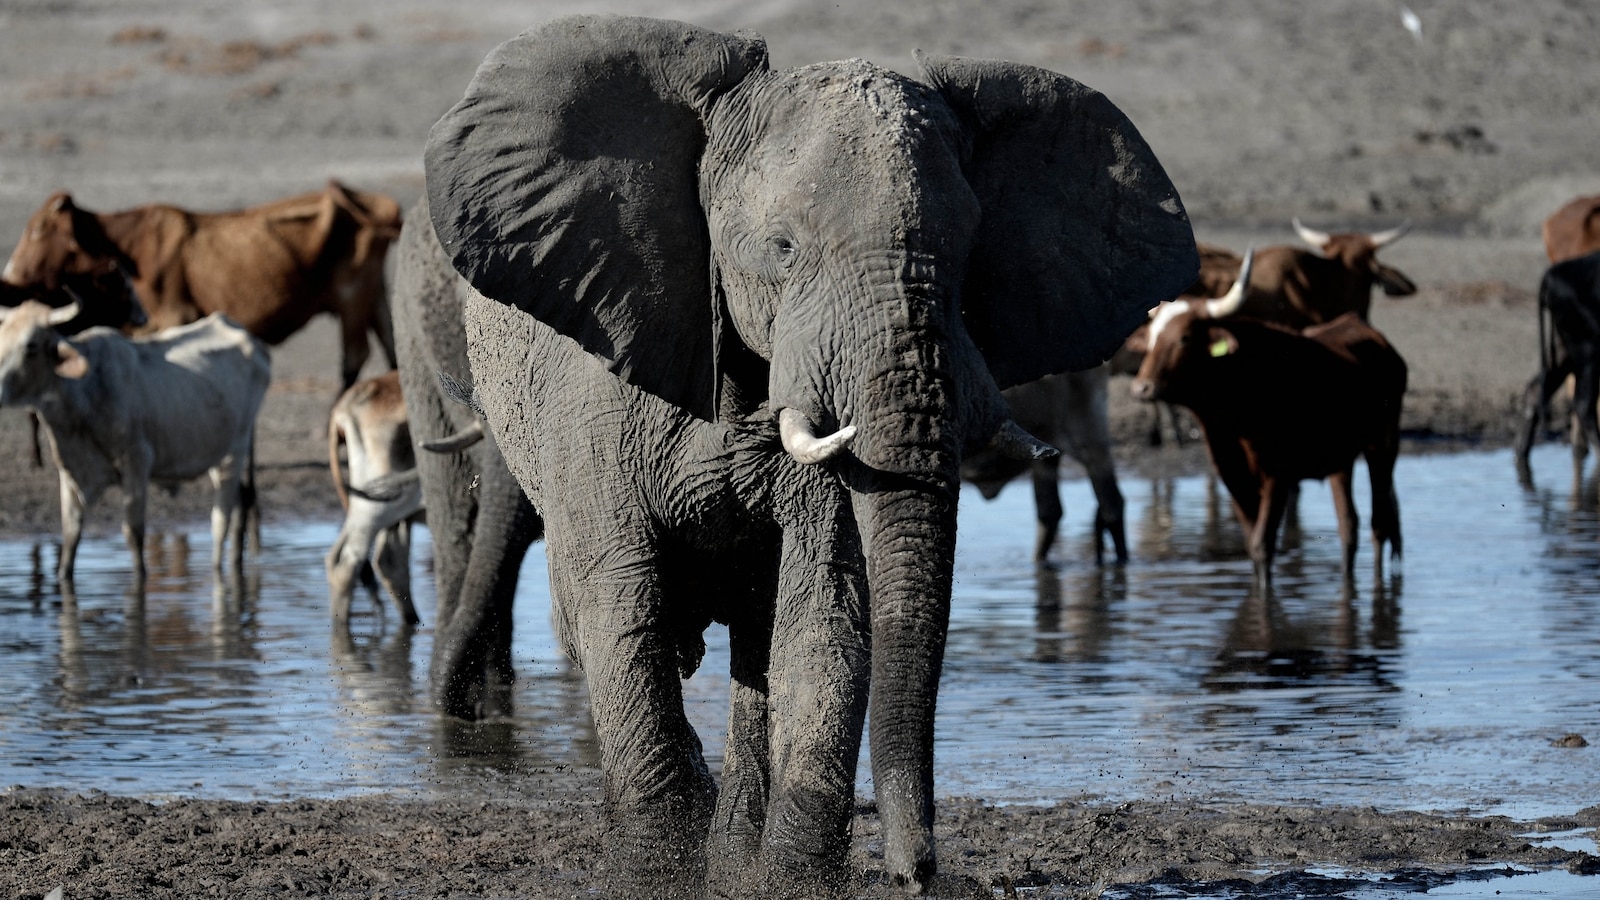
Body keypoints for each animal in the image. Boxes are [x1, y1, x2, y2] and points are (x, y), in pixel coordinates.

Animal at [405, 14, 1196, 897]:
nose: (917, 869)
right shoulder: (595, 398)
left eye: (967, 256)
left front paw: (792, 882)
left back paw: (732, 855)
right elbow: (622, 604)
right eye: (782, 249)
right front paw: (655, 873)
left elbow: (825, 611)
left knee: (759, 642)